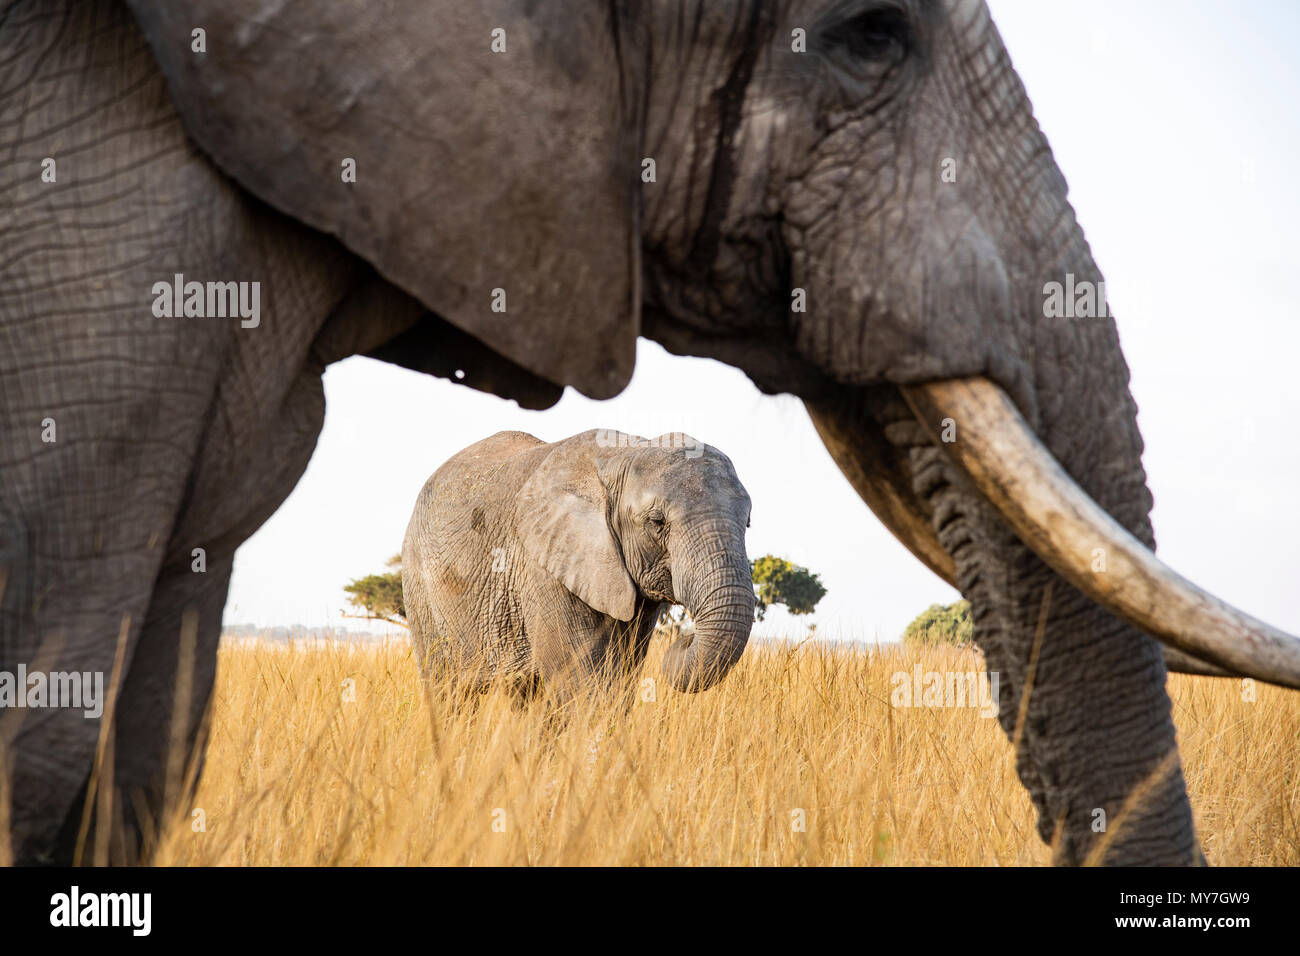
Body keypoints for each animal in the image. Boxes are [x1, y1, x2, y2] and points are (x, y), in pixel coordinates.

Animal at [401, 430, 755, 702]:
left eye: (748, 522)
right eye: (657, 522)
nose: (684, 640)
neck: (624, 454)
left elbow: (620, 681)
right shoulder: (544, 564)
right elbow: (583, 686)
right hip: (421, 589)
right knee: (449, 693)